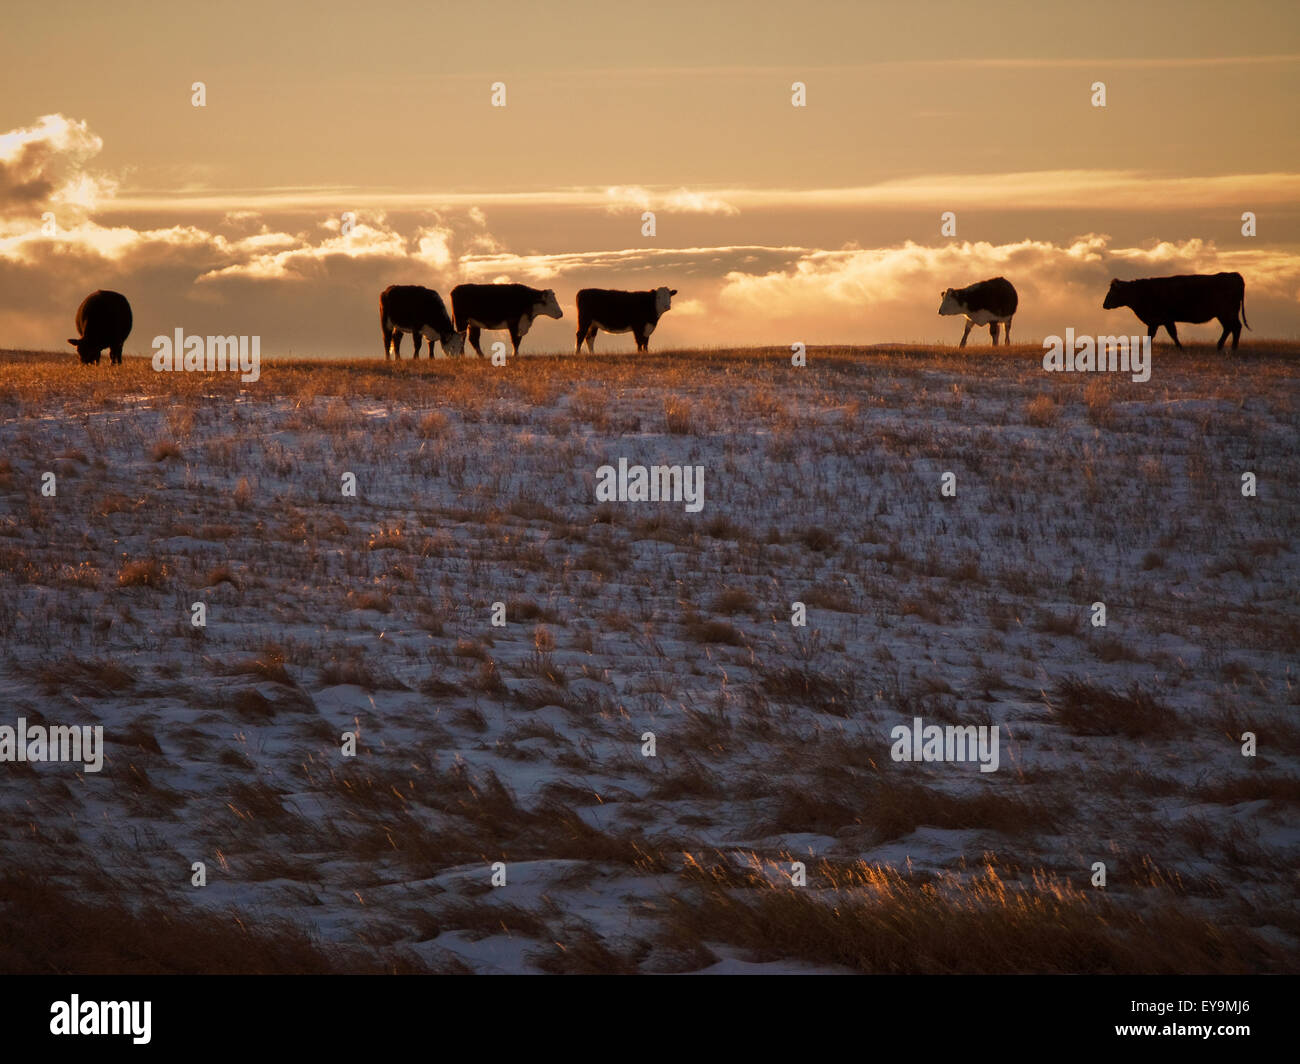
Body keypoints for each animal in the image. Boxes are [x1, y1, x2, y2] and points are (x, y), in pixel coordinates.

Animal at [1102, 272, 1249, 351]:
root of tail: (1234, 275)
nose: (1104, 305)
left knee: (1235, 327)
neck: (1141, 291)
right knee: (1229, 328)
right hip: (1223, 315)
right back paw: (1220, 347)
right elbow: (1156, 335)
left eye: (1113, 292)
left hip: (1227, 313)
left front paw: (1180, 348)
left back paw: (1232, 348)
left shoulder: (1163, 320)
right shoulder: (1158, 322)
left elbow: (1170, 334)